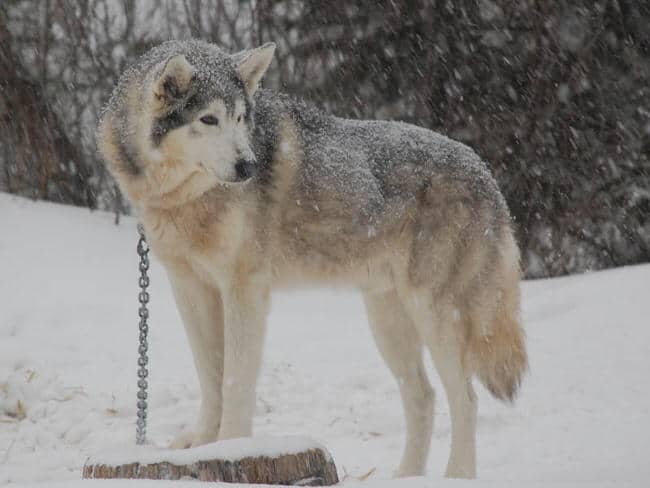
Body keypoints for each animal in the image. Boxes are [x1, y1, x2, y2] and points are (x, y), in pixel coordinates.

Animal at [97, 39, 527, 479]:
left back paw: (457, 475)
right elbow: (210, 375)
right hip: (387, 321)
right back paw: (406, 477)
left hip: (434, 315)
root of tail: (485, 173)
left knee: (466, 399)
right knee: (423, 396)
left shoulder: (245, 290)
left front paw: (233, 446)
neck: (184, 196)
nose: (248, 165)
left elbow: (235, 381)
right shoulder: (190, 288)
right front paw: (203, 444)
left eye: (240, 118)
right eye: (209, 119)